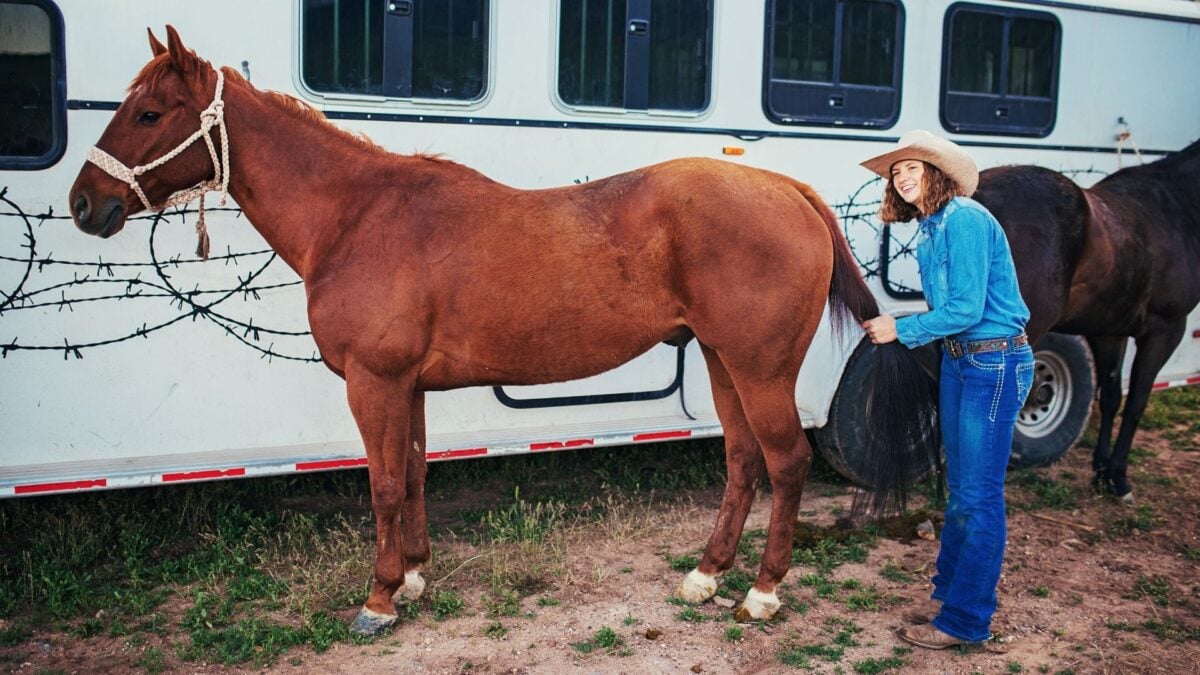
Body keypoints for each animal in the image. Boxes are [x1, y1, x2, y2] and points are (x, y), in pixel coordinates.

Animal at [68, 27, 937, 636]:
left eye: (149, 112)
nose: (83, 203)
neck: (357, 215)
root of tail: (787, 189)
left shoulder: (375, 382)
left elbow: (383, 484)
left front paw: (379, 597)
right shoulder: (407, 386)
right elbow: (413, 474)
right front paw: (414, 575)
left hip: (760, 366)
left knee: (786, 463)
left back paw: (760, 593)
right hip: (725, 362)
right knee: (743, 461)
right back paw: (707, 574)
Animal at [974, 139, 1200, 500]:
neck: (1178, 206)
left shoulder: (1110, 331)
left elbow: (1111, 397)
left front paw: (1102, 471)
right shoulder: (1166, 329)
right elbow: (1136, 402)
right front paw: (1119, 476)